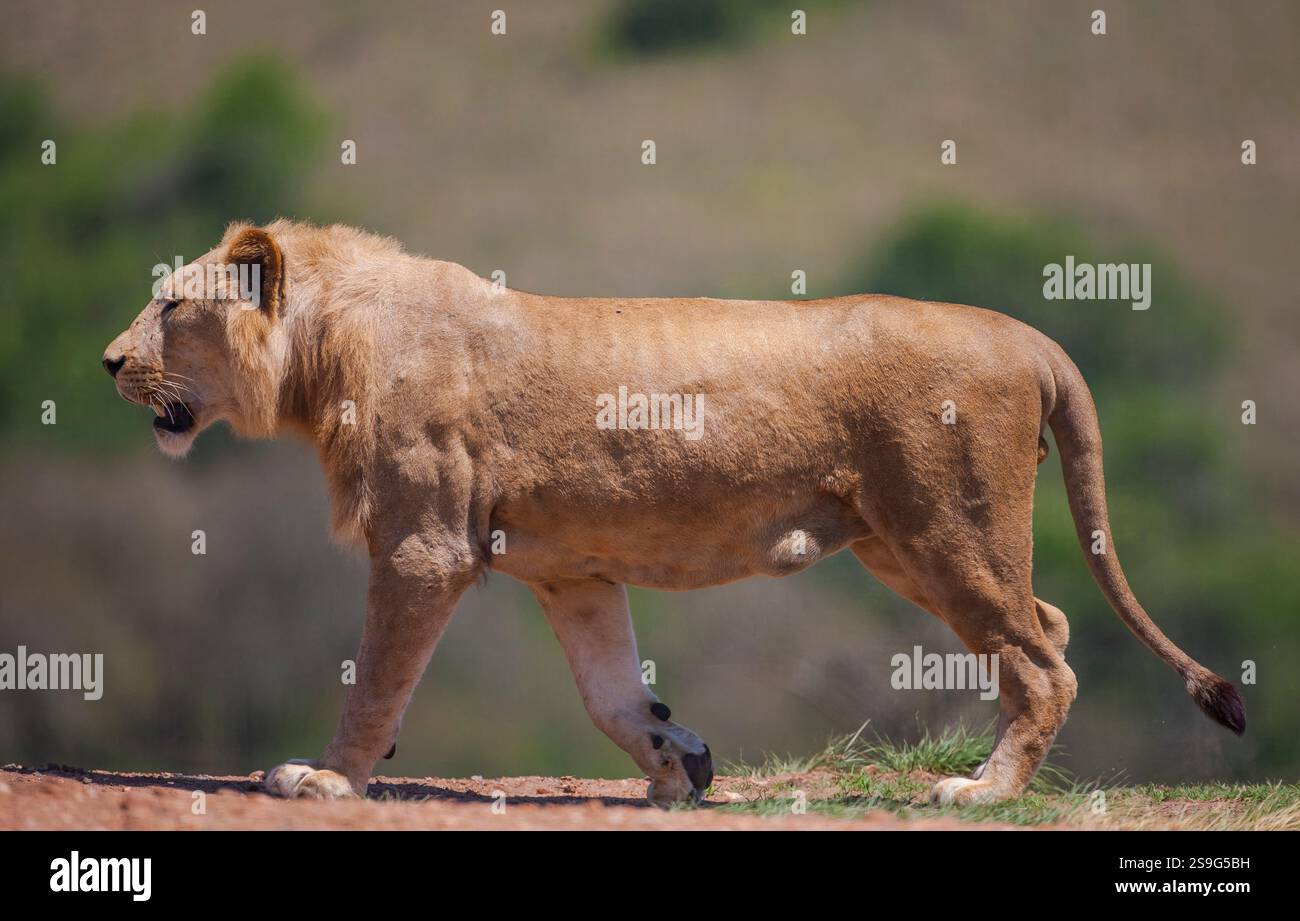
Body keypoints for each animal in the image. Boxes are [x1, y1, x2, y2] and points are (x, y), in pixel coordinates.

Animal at [103, 220, 1245, 806]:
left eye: (172, 304)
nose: (110, 361)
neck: (324, 350)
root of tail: (1030, 336)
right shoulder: (569, 570)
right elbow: (614, 695)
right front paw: (678, 765)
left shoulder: (424, 548)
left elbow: (375, 682)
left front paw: (325, 777)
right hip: (901, 543)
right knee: (1046, 628)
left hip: (945, 528)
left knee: (1043, 655)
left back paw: (980, 792)